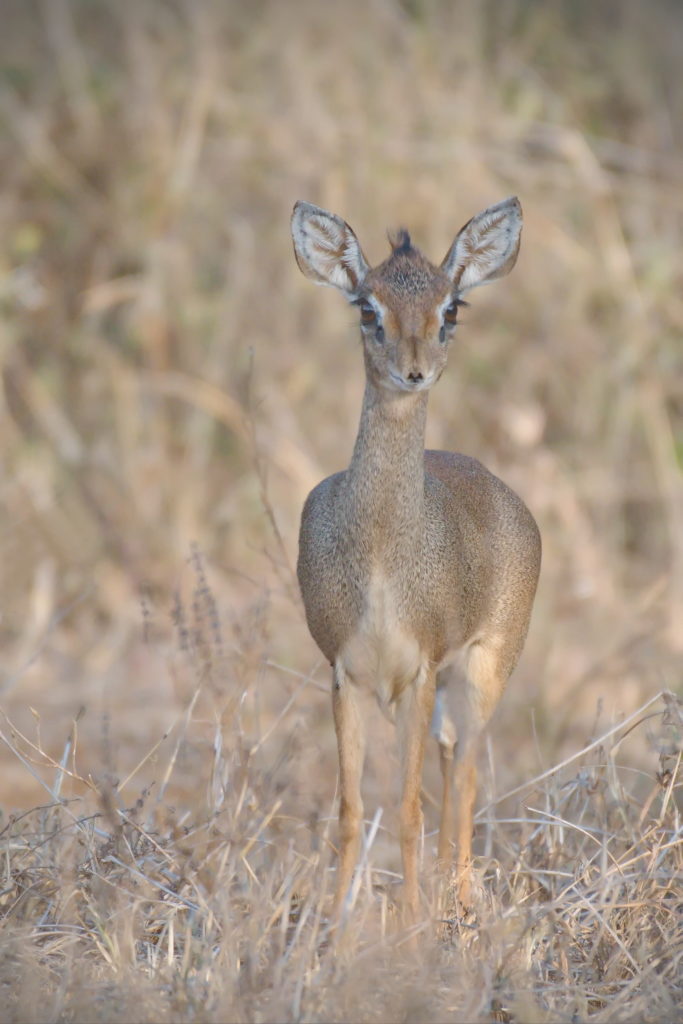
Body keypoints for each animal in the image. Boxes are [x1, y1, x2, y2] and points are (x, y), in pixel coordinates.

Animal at [291, 197, 541, 921]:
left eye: (451, 307)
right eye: (366, 307)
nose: (414, 370)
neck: (379, 554)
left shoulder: (418, 671)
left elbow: (405, 812)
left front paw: (407, 932)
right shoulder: (344, 673)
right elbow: (350, 812)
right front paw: (337, 929)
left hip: (485, 668)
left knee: (466, 771)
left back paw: (459, 899)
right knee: (453, 758)